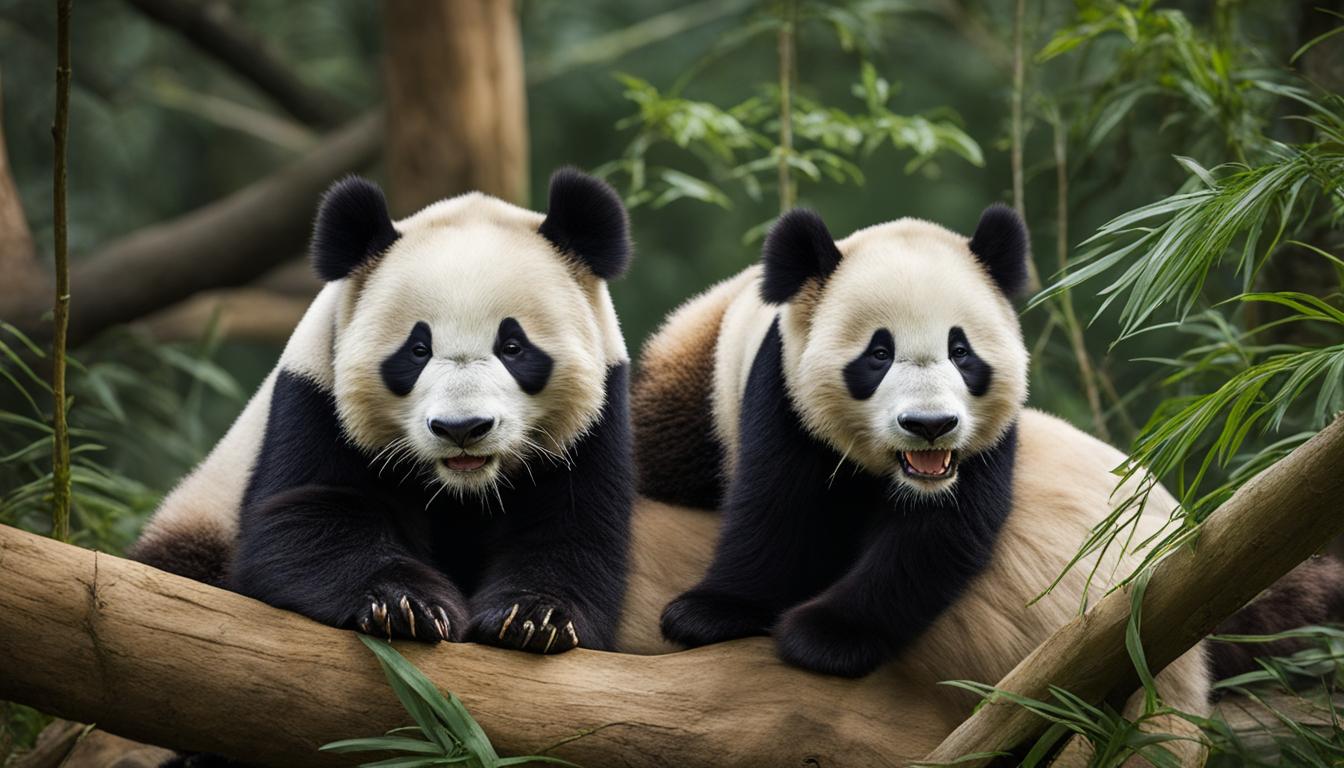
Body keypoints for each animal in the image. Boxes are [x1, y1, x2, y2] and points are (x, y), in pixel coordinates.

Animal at [132, 168, 635, 654]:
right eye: (417, 350)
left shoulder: (595, 424)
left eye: (513, 347)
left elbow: (572, 530)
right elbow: (309, 517)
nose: (462, 428)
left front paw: (533, 618)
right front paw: (406, 606)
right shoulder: (315, 398)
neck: (461, 489)